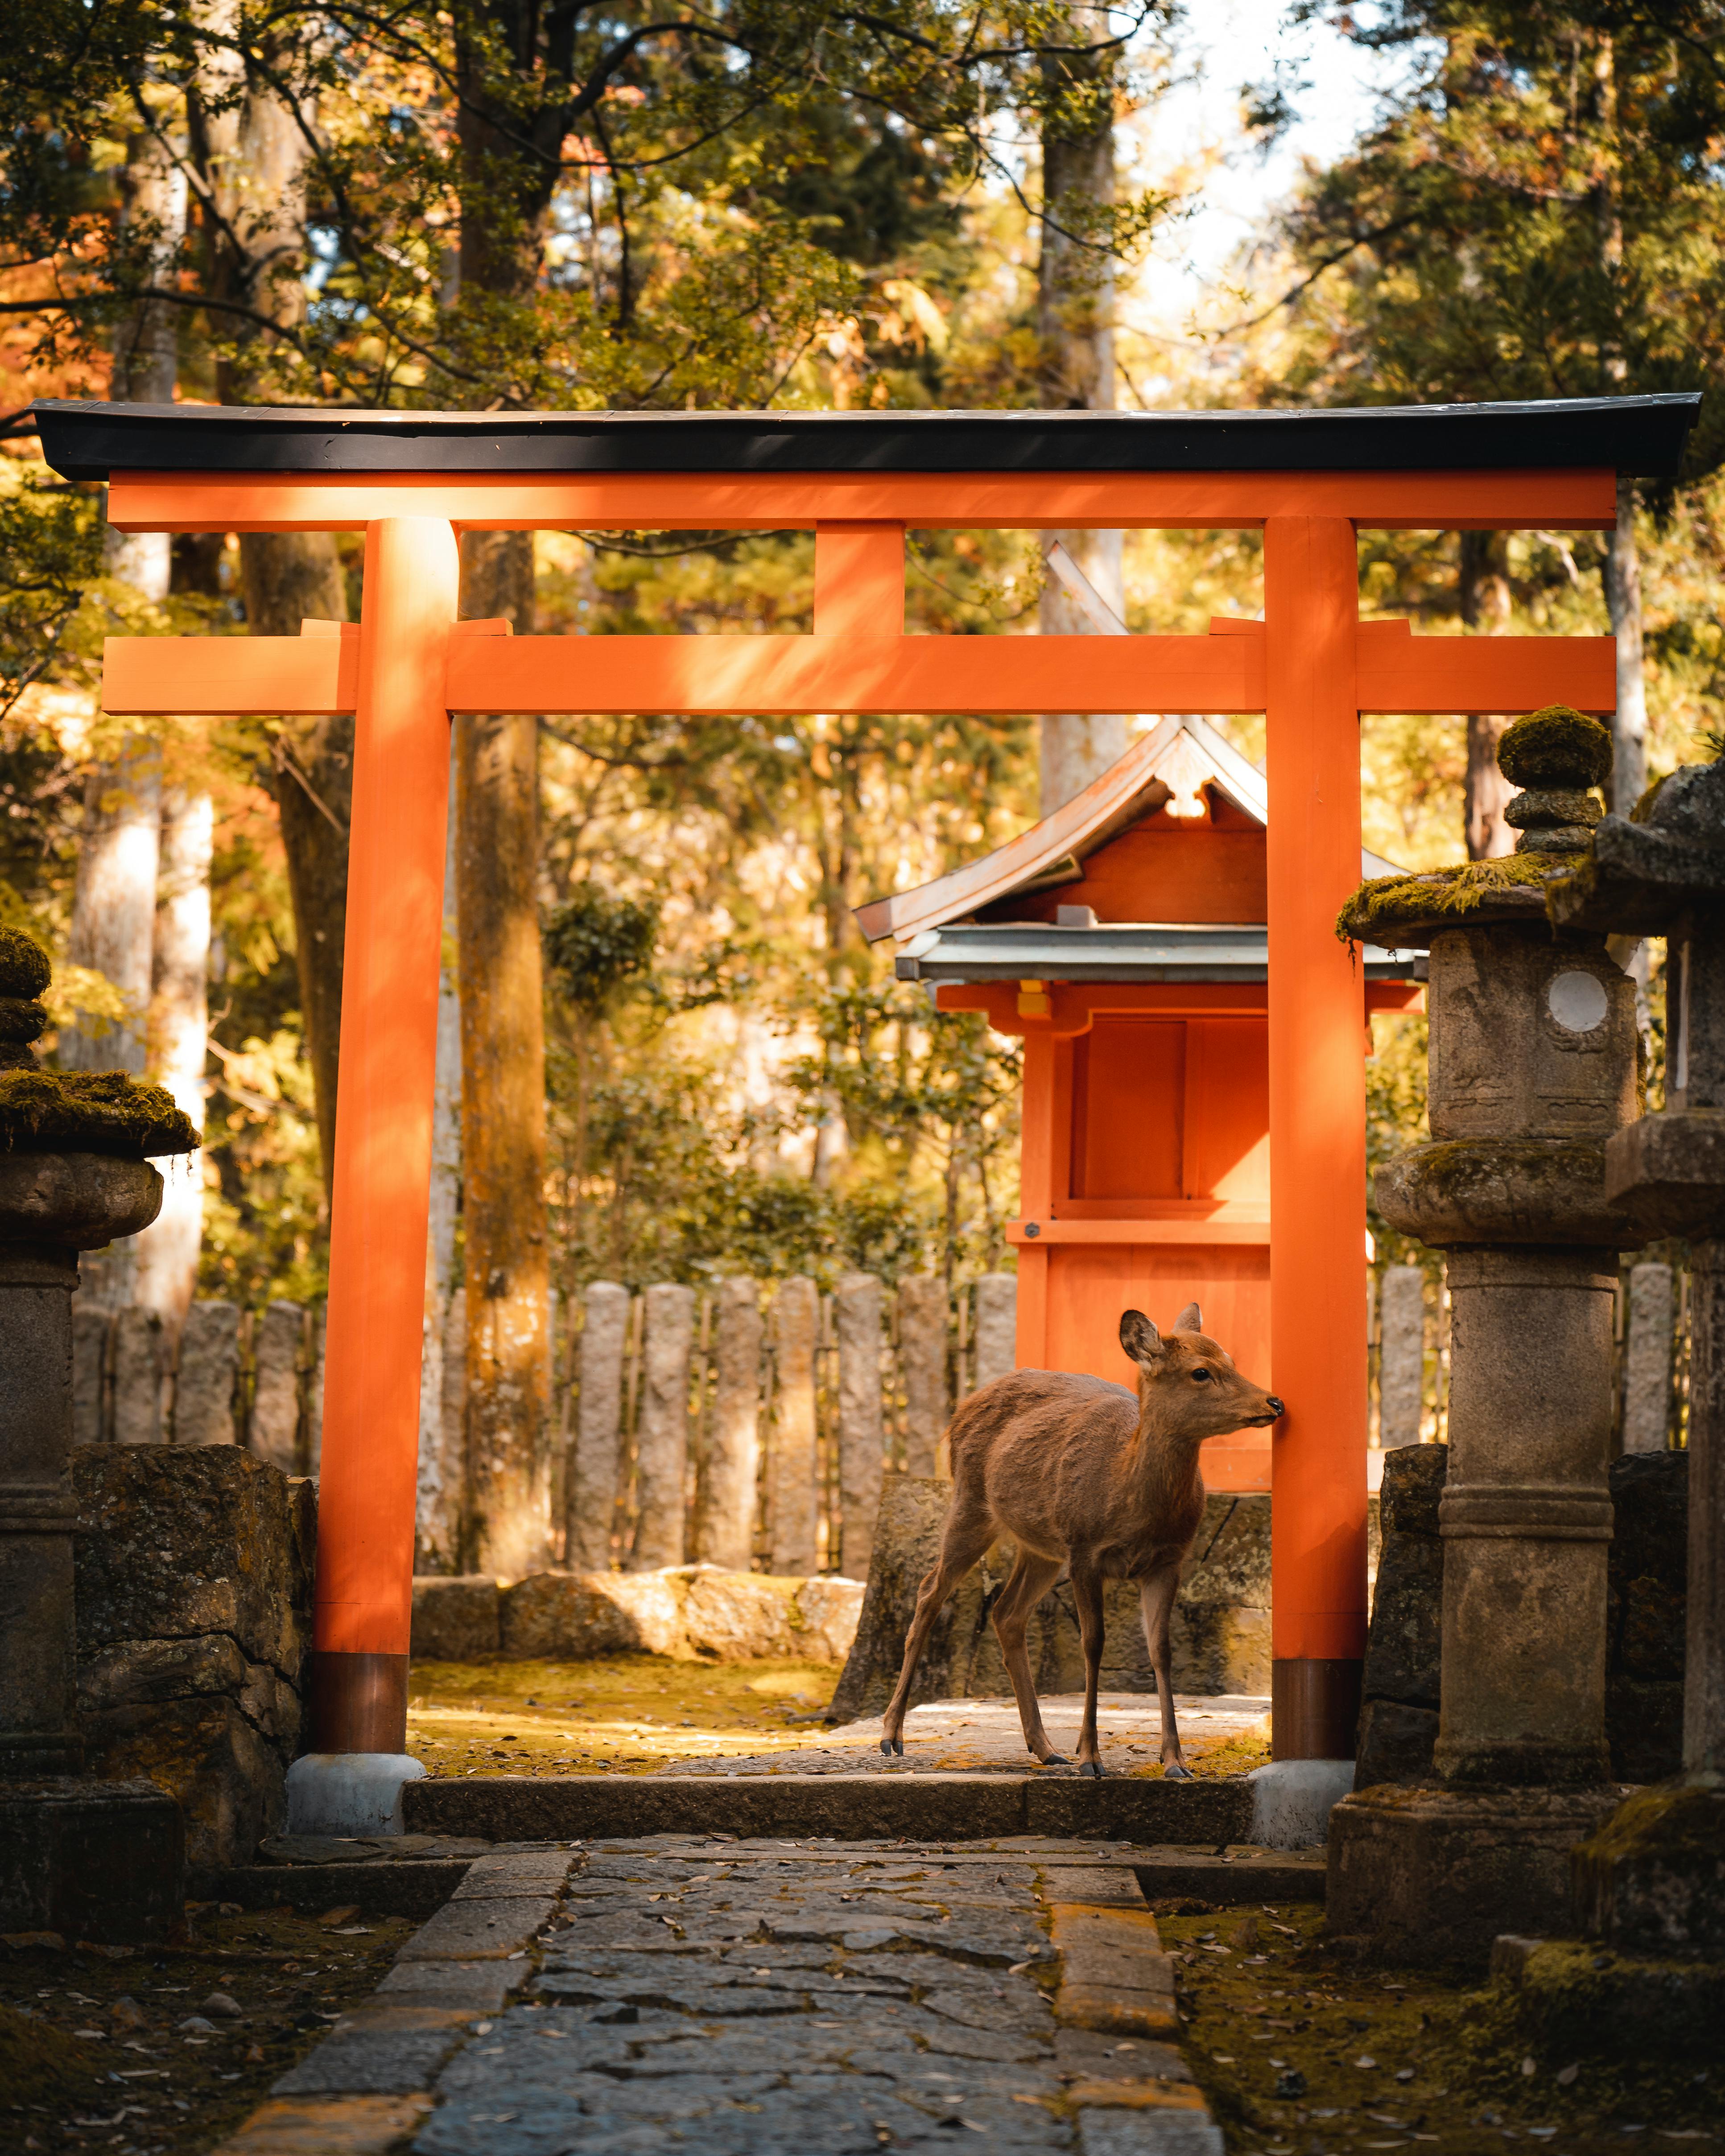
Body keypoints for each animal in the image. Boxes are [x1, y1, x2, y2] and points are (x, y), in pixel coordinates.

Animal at [879, 1305, 1283, 1779]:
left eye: (1232, 1361)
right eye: (1201, 1371)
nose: (1274, 1403)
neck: (1129, 1497)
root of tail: (962, 1407)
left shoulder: (1169, 1560)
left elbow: (1162, 1650)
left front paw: (1175, 1762)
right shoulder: (1085, 1549)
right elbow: (1093, 1643)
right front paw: (1091, 1757)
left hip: (1041, 1547)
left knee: (1006, 1612)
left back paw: (1046, 1747)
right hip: (972, 1502)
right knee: (929, 1592)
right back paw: (891, 1735)